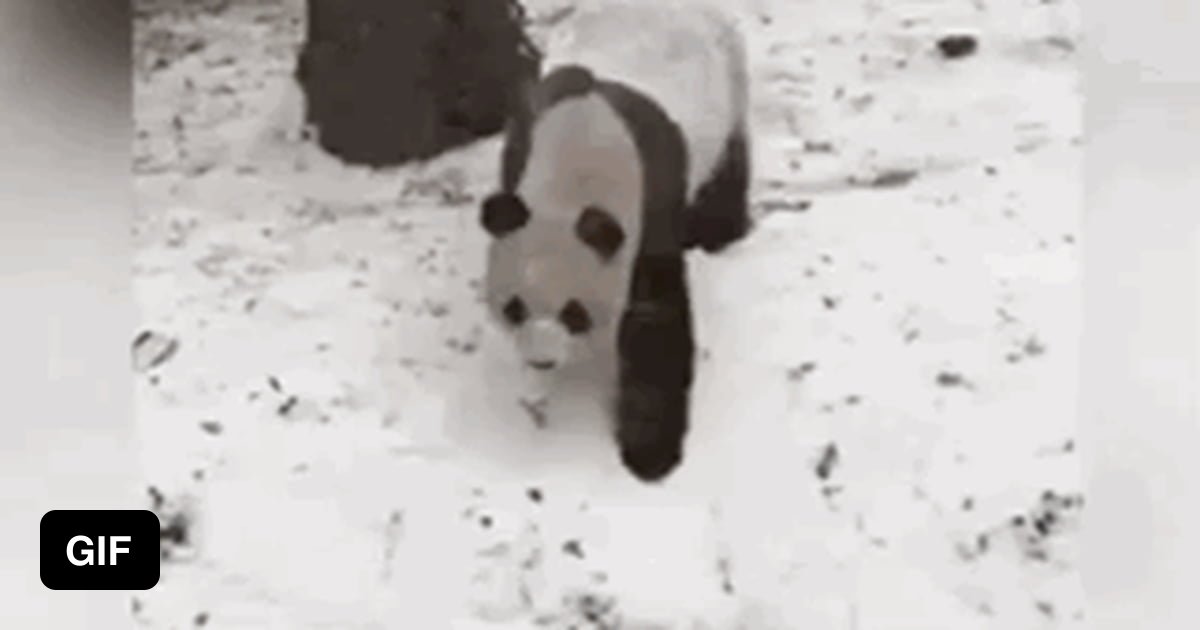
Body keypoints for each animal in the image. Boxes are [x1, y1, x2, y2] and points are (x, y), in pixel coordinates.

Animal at [476, 0, 751, 483]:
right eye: (514, 308)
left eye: (575, 313)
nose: (543, 360)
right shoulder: (521, 150)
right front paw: (533, 393)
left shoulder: (650, 205)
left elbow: (654, 325)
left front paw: (650, 455)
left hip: (730, 83)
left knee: (727, 174)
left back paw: (718, 233)